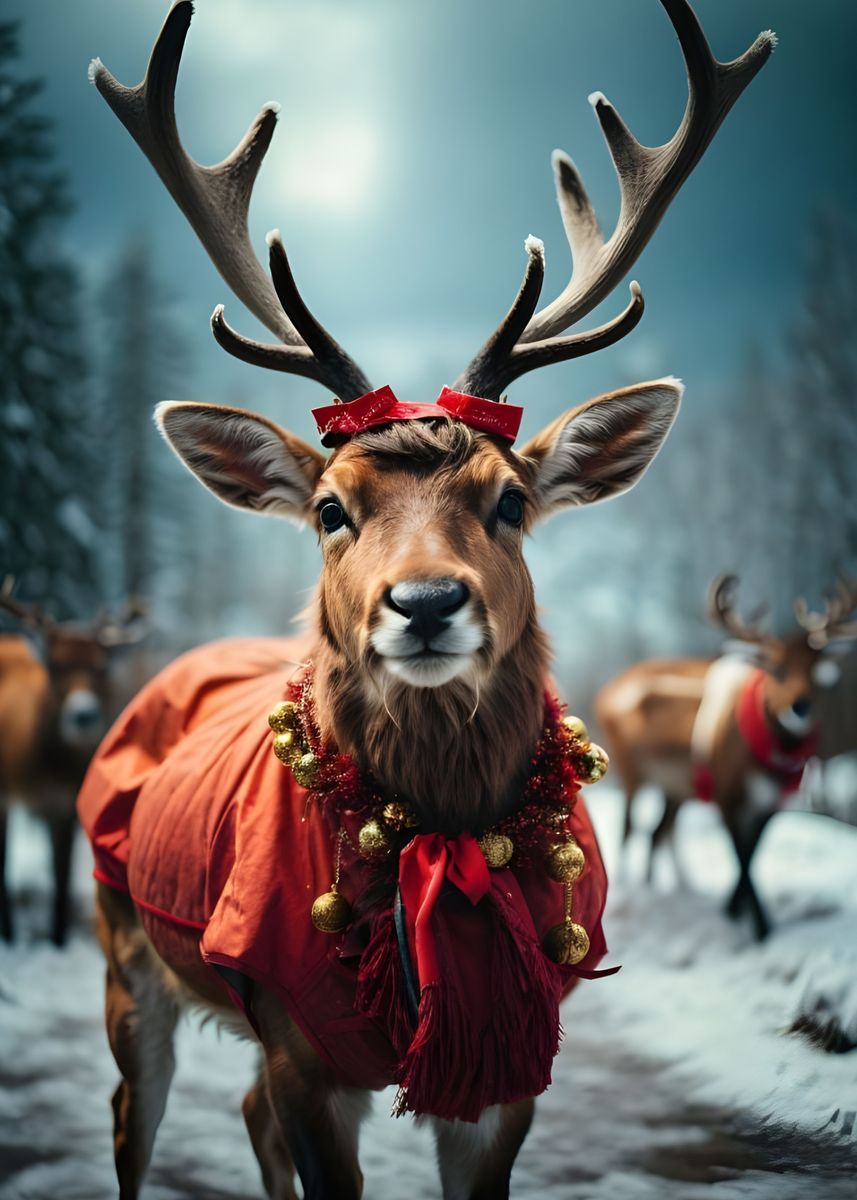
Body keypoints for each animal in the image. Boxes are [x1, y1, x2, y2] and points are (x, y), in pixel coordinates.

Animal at [0, 578, 146, 945]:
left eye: (102, 666)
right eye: (55, 666)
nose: (83, 714)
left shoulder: (65, 802)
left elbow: (62, 878)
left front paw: (58, 938)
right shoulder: (4, 793)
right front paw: (10, 937)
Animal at [77, 2, 773, 1197]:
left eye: (510, 500)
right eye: (328, 507)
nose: (427, 601)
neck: (435, 832)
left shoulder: (510, 1062)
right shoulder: (302, 1046)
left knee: (243, 1110)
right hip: (129, 948)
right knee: (134, 1116)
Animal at [596, 574, 857, 940]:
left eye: (815, 668)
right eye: (776, 669)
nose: (800, 706)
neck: (769, 763)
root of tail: (605, 694)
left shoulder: (774, 802)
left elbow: (753, 853)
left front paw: (737, 911)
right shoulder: (725, 791)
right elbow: (741, 856)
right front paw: (757, 927)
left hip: (675, 786)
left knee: (659, 831)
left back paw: (671, 887)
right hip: (629, 767)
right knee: (630, 827)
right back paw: (629, 889)